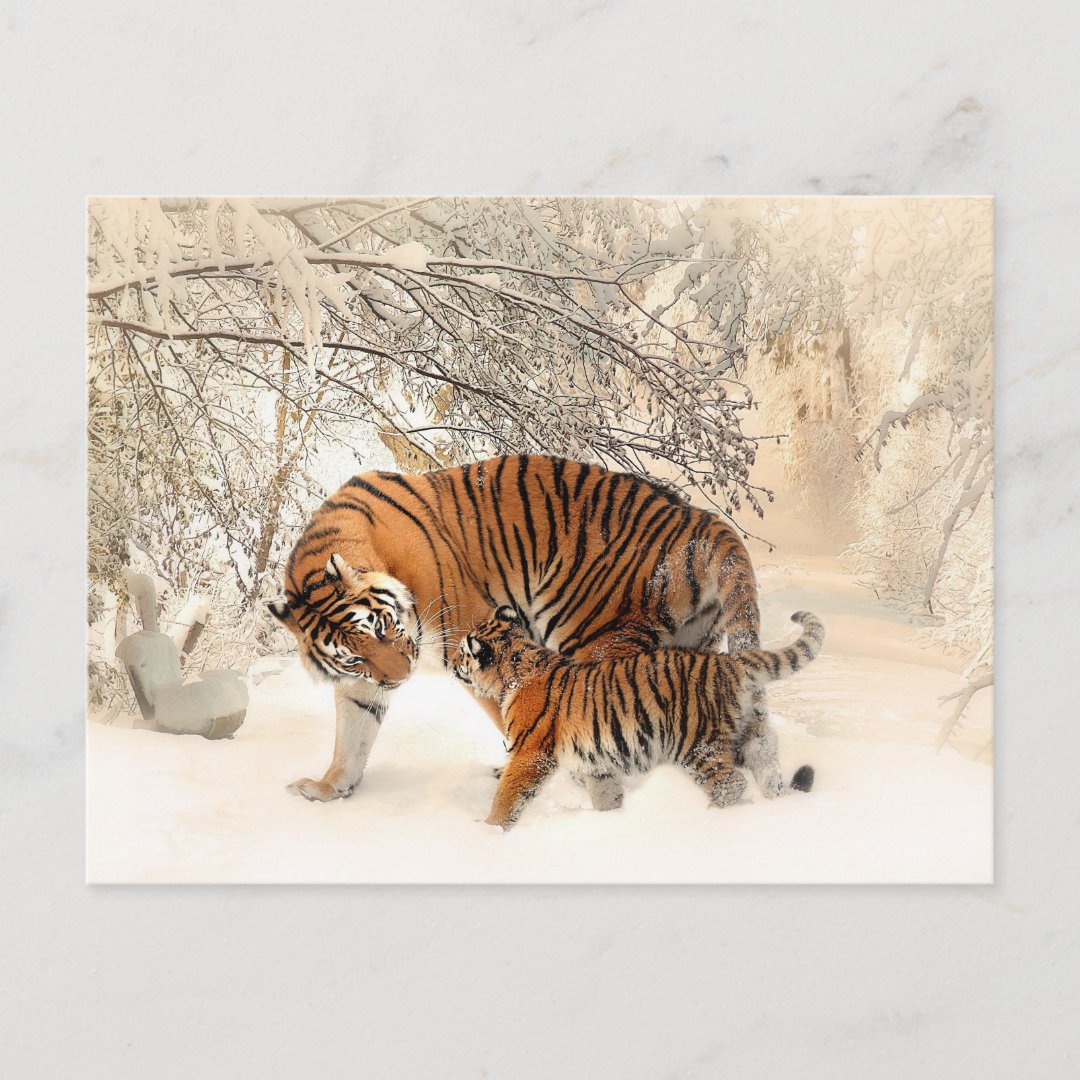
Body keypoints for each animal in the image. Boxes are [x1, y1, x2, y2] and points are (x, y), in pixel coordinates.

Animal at [268, 454, 784, 808]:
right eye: (353, 656)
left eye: (380, 626)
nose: (400, 678)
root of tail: (700, 519)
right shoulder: (361, 683)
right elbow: (352, 734)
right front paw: (329, 788)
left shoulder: (470, 637)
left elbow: (514, 715)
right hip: (688, 648)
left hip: (596, 637)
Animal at [453, 607, 823, 830]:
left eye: (462, 652)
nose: (453, 664)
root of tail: (728, 662)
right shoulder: (596, 763)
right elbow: (606, 795)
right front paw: (611, 821)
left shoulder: (530, 754)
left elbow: (508, 796)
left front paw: (489, 831)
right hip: (750, 735)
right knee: (767, 767)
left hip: (696, 745)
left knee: (731, 784)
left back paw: (710, 818)